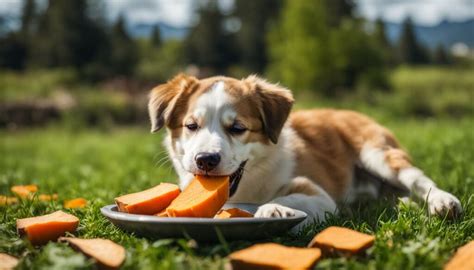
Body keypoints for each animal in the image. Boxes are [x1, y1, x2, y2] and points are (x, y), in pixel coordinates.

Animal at [148, 74, 462, 221]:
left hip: (378, 154)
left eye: (237, 128)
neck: (249, 183)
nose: (205, 160)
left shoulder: (321, 197)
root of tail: (352, 112)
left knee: (418, 179)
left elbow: (291, 197)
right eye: (191, 125)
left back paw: (443, 202)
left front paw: (273, 209)